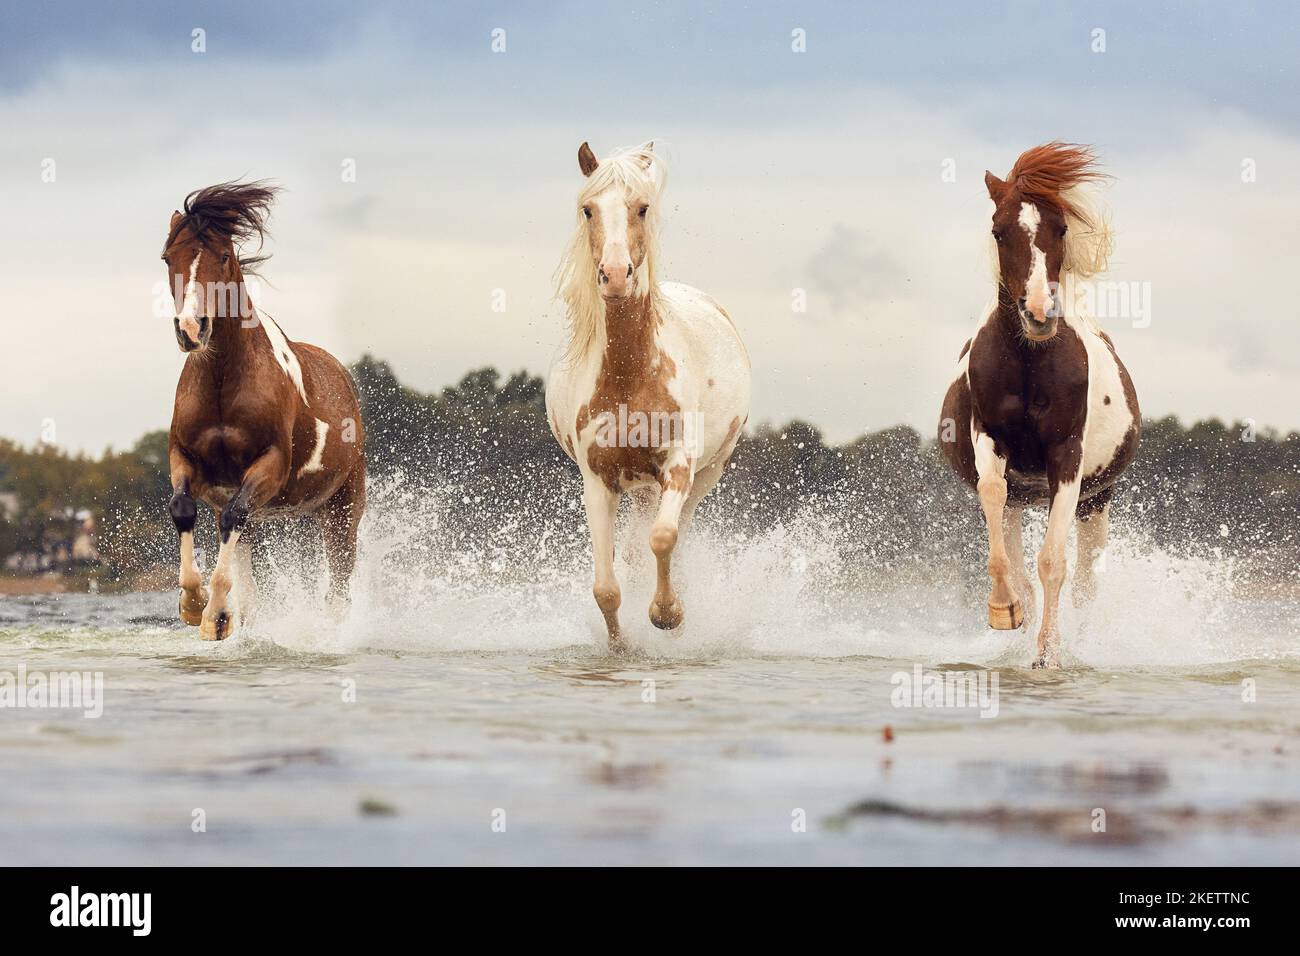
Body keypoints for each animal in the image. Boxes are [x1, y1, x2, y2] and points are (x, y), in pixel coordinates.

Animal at [161, 181, 366, 640]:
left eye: (222, 255)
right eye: (168, 257)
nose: (191, 329)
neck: (224, 381)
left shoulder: (270, 464)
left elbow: (231, 519)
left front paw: (212, 615)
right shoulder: (186, 460)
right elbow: (184, 510)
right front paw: (195, 605)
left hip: (344, 506)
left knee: (340, 583)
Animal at [546, 142, 751, 649]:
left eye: (641, 207)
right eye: (588, 209)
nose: (616, 275)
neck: (630, 373)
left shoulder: (677, 465)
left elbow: (663, 538)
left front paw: (667, 615)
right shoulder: (598, 481)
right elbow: (606, 587)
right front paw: (621, 646)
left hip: (706, 474)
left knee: (674, 533)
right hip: (638, 487)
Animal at [939, 143, 1140, 668]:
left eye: (1062, 228)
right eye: (998, 230)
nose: (1038, 314)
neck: (1031, 363)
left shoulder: (1066, 458)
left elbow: (1052, 563)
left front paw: (1048, 656)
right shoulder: (991, 441)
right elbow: (996, 512)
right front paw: (1004, 612)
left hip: (1095, 502)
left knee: (1087, 584)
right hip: (1022, 500)